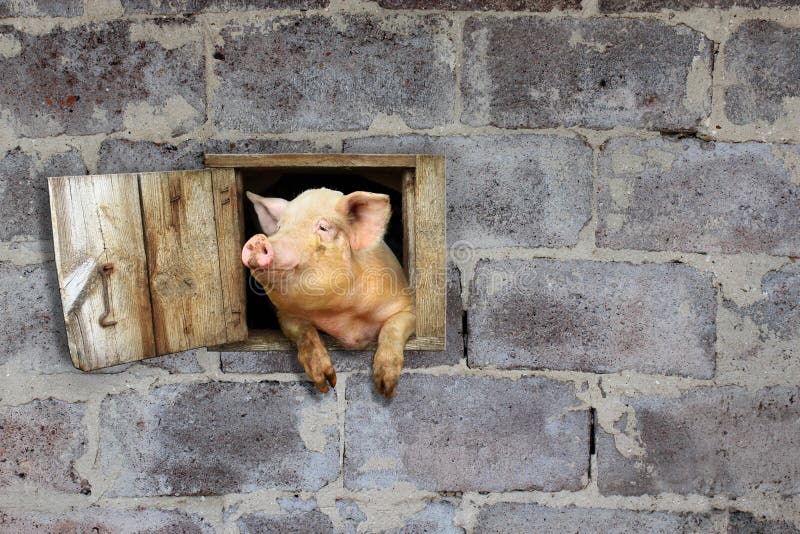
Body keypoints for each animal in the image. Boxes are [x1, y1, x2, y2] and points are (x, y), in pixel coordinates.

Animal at [241, 188, 415, 398]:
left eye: (323, 227)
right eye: (279, 227)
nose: (258, 239)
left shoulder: (407, 306)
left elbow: (393, 327)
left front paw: (385, 388)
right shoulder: (285, 315)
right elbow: (303, 332)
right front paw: (327, 383)